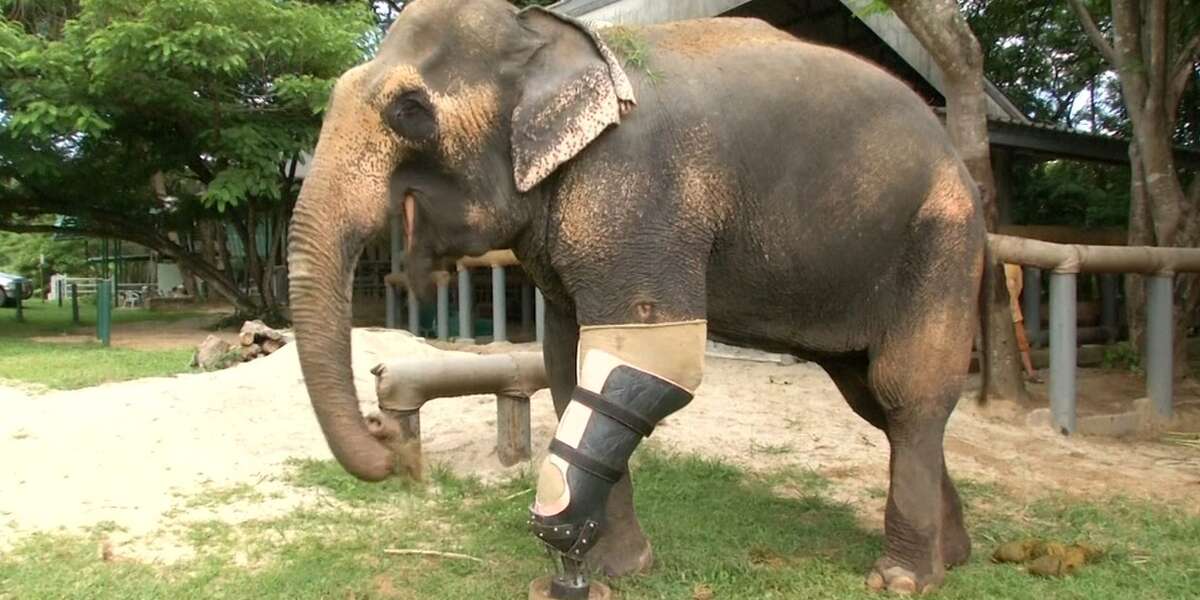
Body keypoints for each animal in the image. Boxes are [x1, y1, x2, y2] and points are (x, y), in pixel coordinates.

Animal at [287, 0, 987, 595]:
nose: (390, 441)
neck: (552, 38)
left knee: (906, 390)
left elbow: (652, 361)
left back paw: (904, 579)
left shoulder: (638, 194)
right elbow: (570, 364)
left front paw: (574, 548)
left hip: (943, 240)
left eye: (410, 110)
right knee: (872, 397)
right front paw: (613, 569)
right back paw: (952, 559)